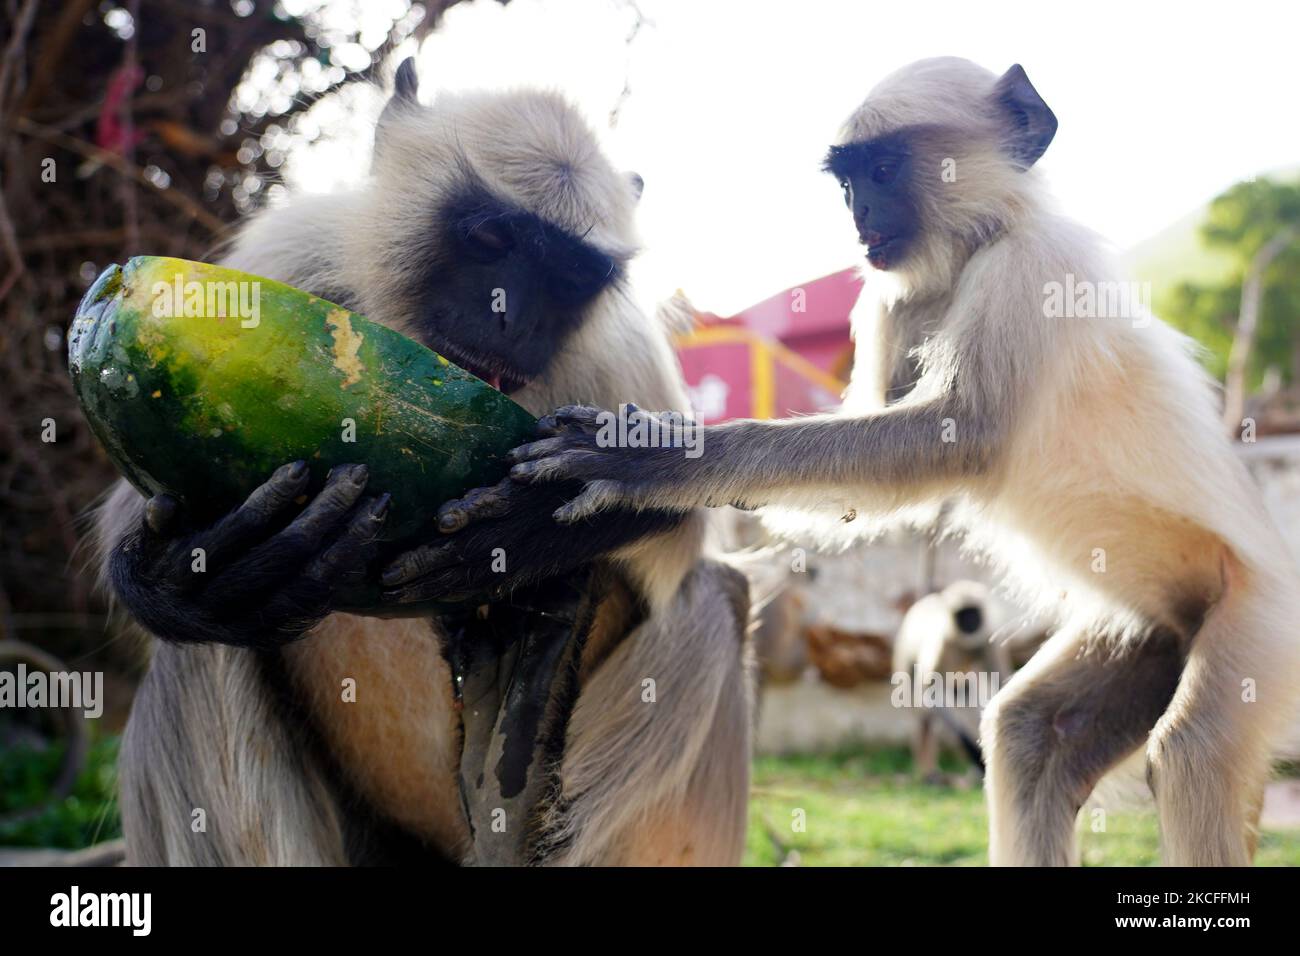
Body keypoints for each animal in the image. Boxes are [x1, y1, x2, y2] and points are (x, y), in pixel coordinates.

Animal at [94, 58, 752, 866]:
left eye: (567, 277)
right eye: (491, 238)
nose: (513, 317)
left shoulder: (621, 354)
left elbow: (686, 525)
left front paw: (524, 533)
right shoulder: (294, 253)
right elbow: (143, 521)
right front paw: (185, 574)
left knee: (717, 595)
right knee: (199, 650)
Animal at [504, 57, 1300, 866]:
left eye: (883, 171)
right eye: (848, 182)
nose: (859, 216)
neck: (976, 248)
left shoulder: (1031, 266)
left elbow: (957, 438)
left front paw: (657, 458)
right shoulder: (894, 298)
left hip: (1262, 617)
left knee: (1192, 754)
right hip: (1155, 625)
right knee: (1029, 735)